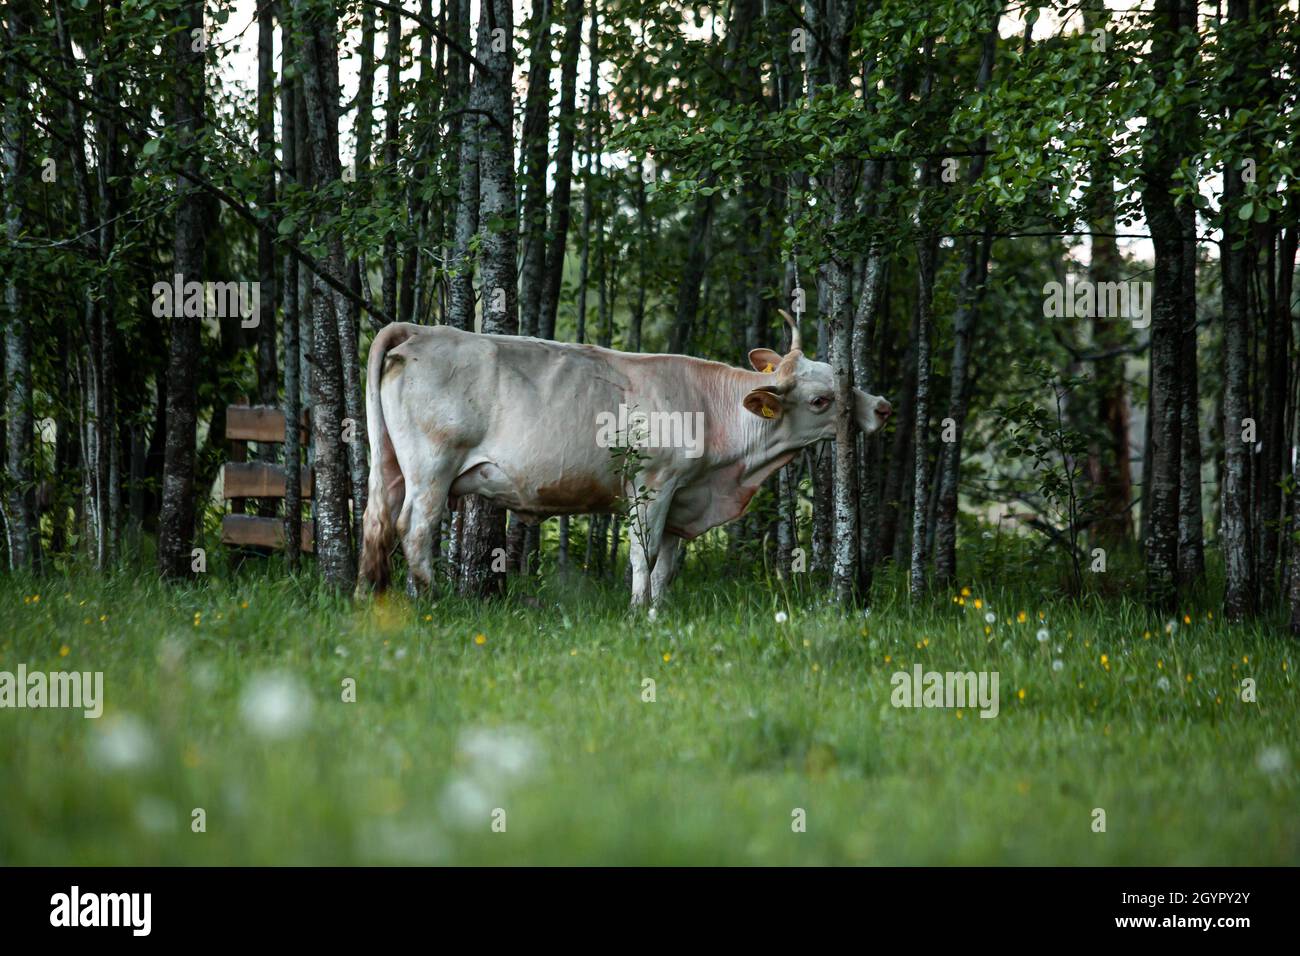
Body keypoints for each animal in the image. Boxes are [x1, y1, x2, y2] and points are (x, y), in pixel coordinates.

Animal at [356, 312, 892, 606]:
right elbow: (644, 554)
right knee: (414, 528)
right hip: (432, 466)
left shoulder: (682, 497)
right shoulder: (652, 483)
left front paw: (659, 611)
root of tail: (420, 330)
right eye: (822, 400)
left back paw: (369, 598)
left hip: (390, 466)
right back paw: (428, 600)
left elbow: (667, 564)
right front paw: (637, 612)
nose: (883, 407)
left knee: (376, 521)